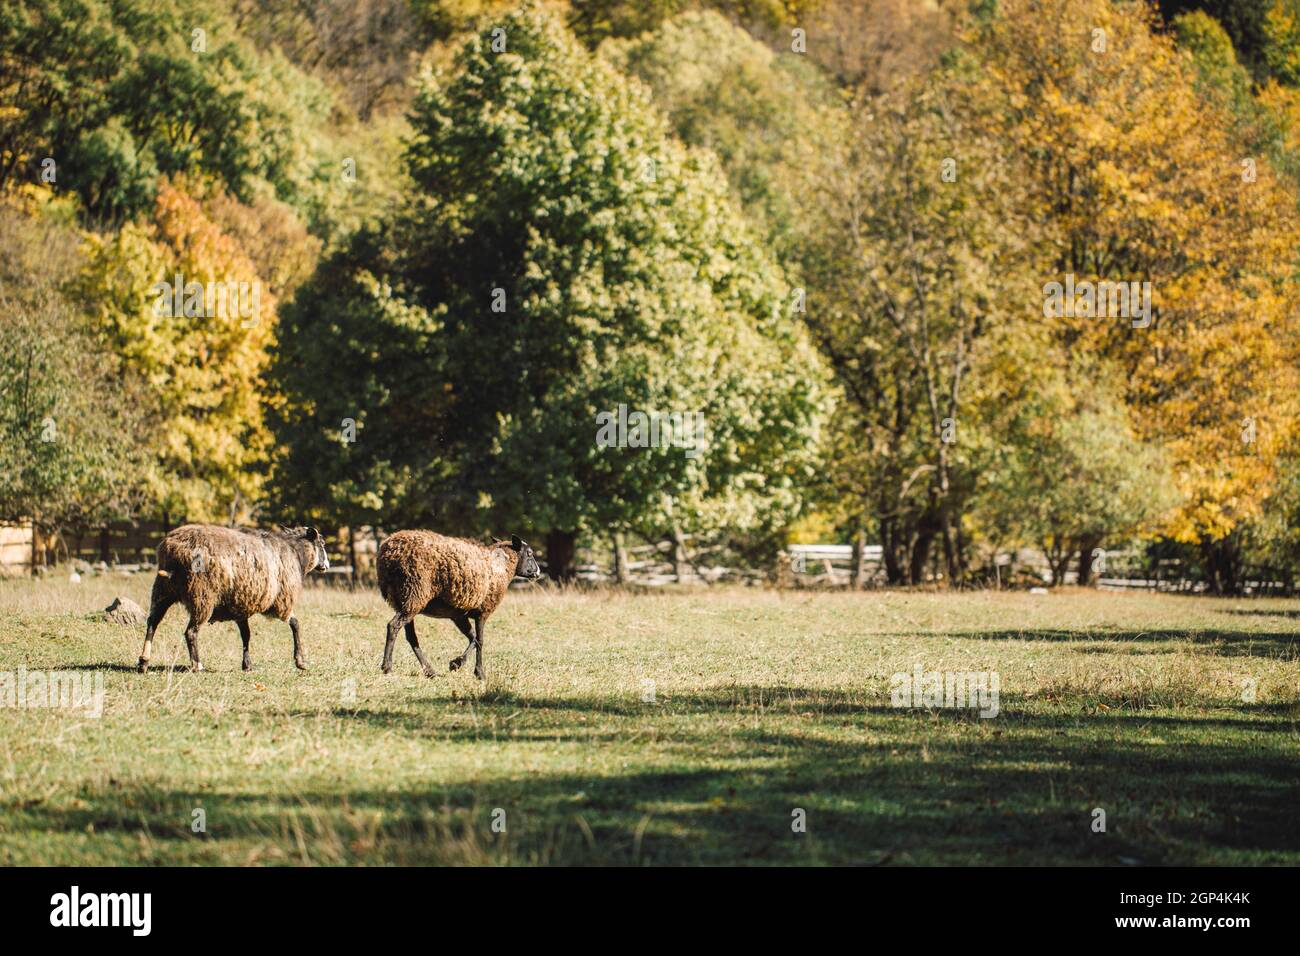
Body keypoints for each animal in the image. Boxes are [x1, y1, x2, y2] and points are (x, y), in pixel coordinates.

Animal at [136, 525, 330, 673]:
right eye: (321, 544)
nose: (327, 566)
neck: (296, 554)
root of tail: (174, 551)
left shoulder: (241, 606)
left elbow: (246, 635)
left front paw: (247, 665)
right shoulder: (282, 602)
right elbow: (295, 624)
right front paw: (300, 662)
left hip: (162, 591)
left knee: (152, 622)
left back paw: (144, 661)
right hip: (202, 596)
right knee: (190, 632)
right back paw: (198, 665)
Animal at [376, 531, 541, 679]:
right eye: (530, 553)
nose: (538, 572)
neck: (503, 565)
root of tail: (390, 556)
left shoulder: (459, 614)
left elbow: (473, 638)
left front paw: (456, 663)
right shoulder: (483, 611)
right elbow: (480, 641)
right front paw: (479, 673)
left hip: (404, 600)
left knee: (411, 637)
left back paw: (430, 671)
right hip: (414, 593)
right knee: (393, 626)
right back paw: (387, 667)